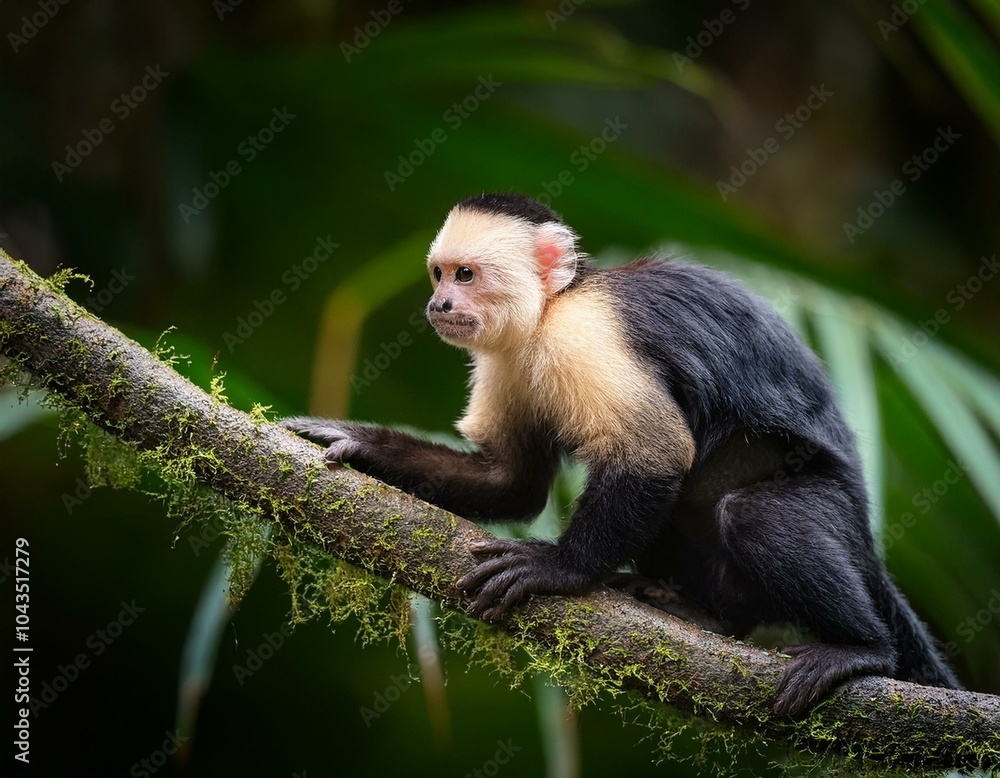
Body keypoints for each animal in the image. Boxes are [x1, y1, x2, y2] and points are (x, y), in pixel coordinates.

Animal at [281, 192, 960, 716]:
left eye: (466, 275)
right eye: (437, 274)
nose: (438, 305)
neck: (548, 310)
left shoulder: (587, 336)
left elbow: (655, 454)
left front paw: (560, 569)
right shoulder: (505, 361)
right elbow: (511, 484)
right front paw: (359, 443)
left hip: (830, 497)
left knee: (752, 512)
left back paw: (861, 649)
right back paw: (707, 615)